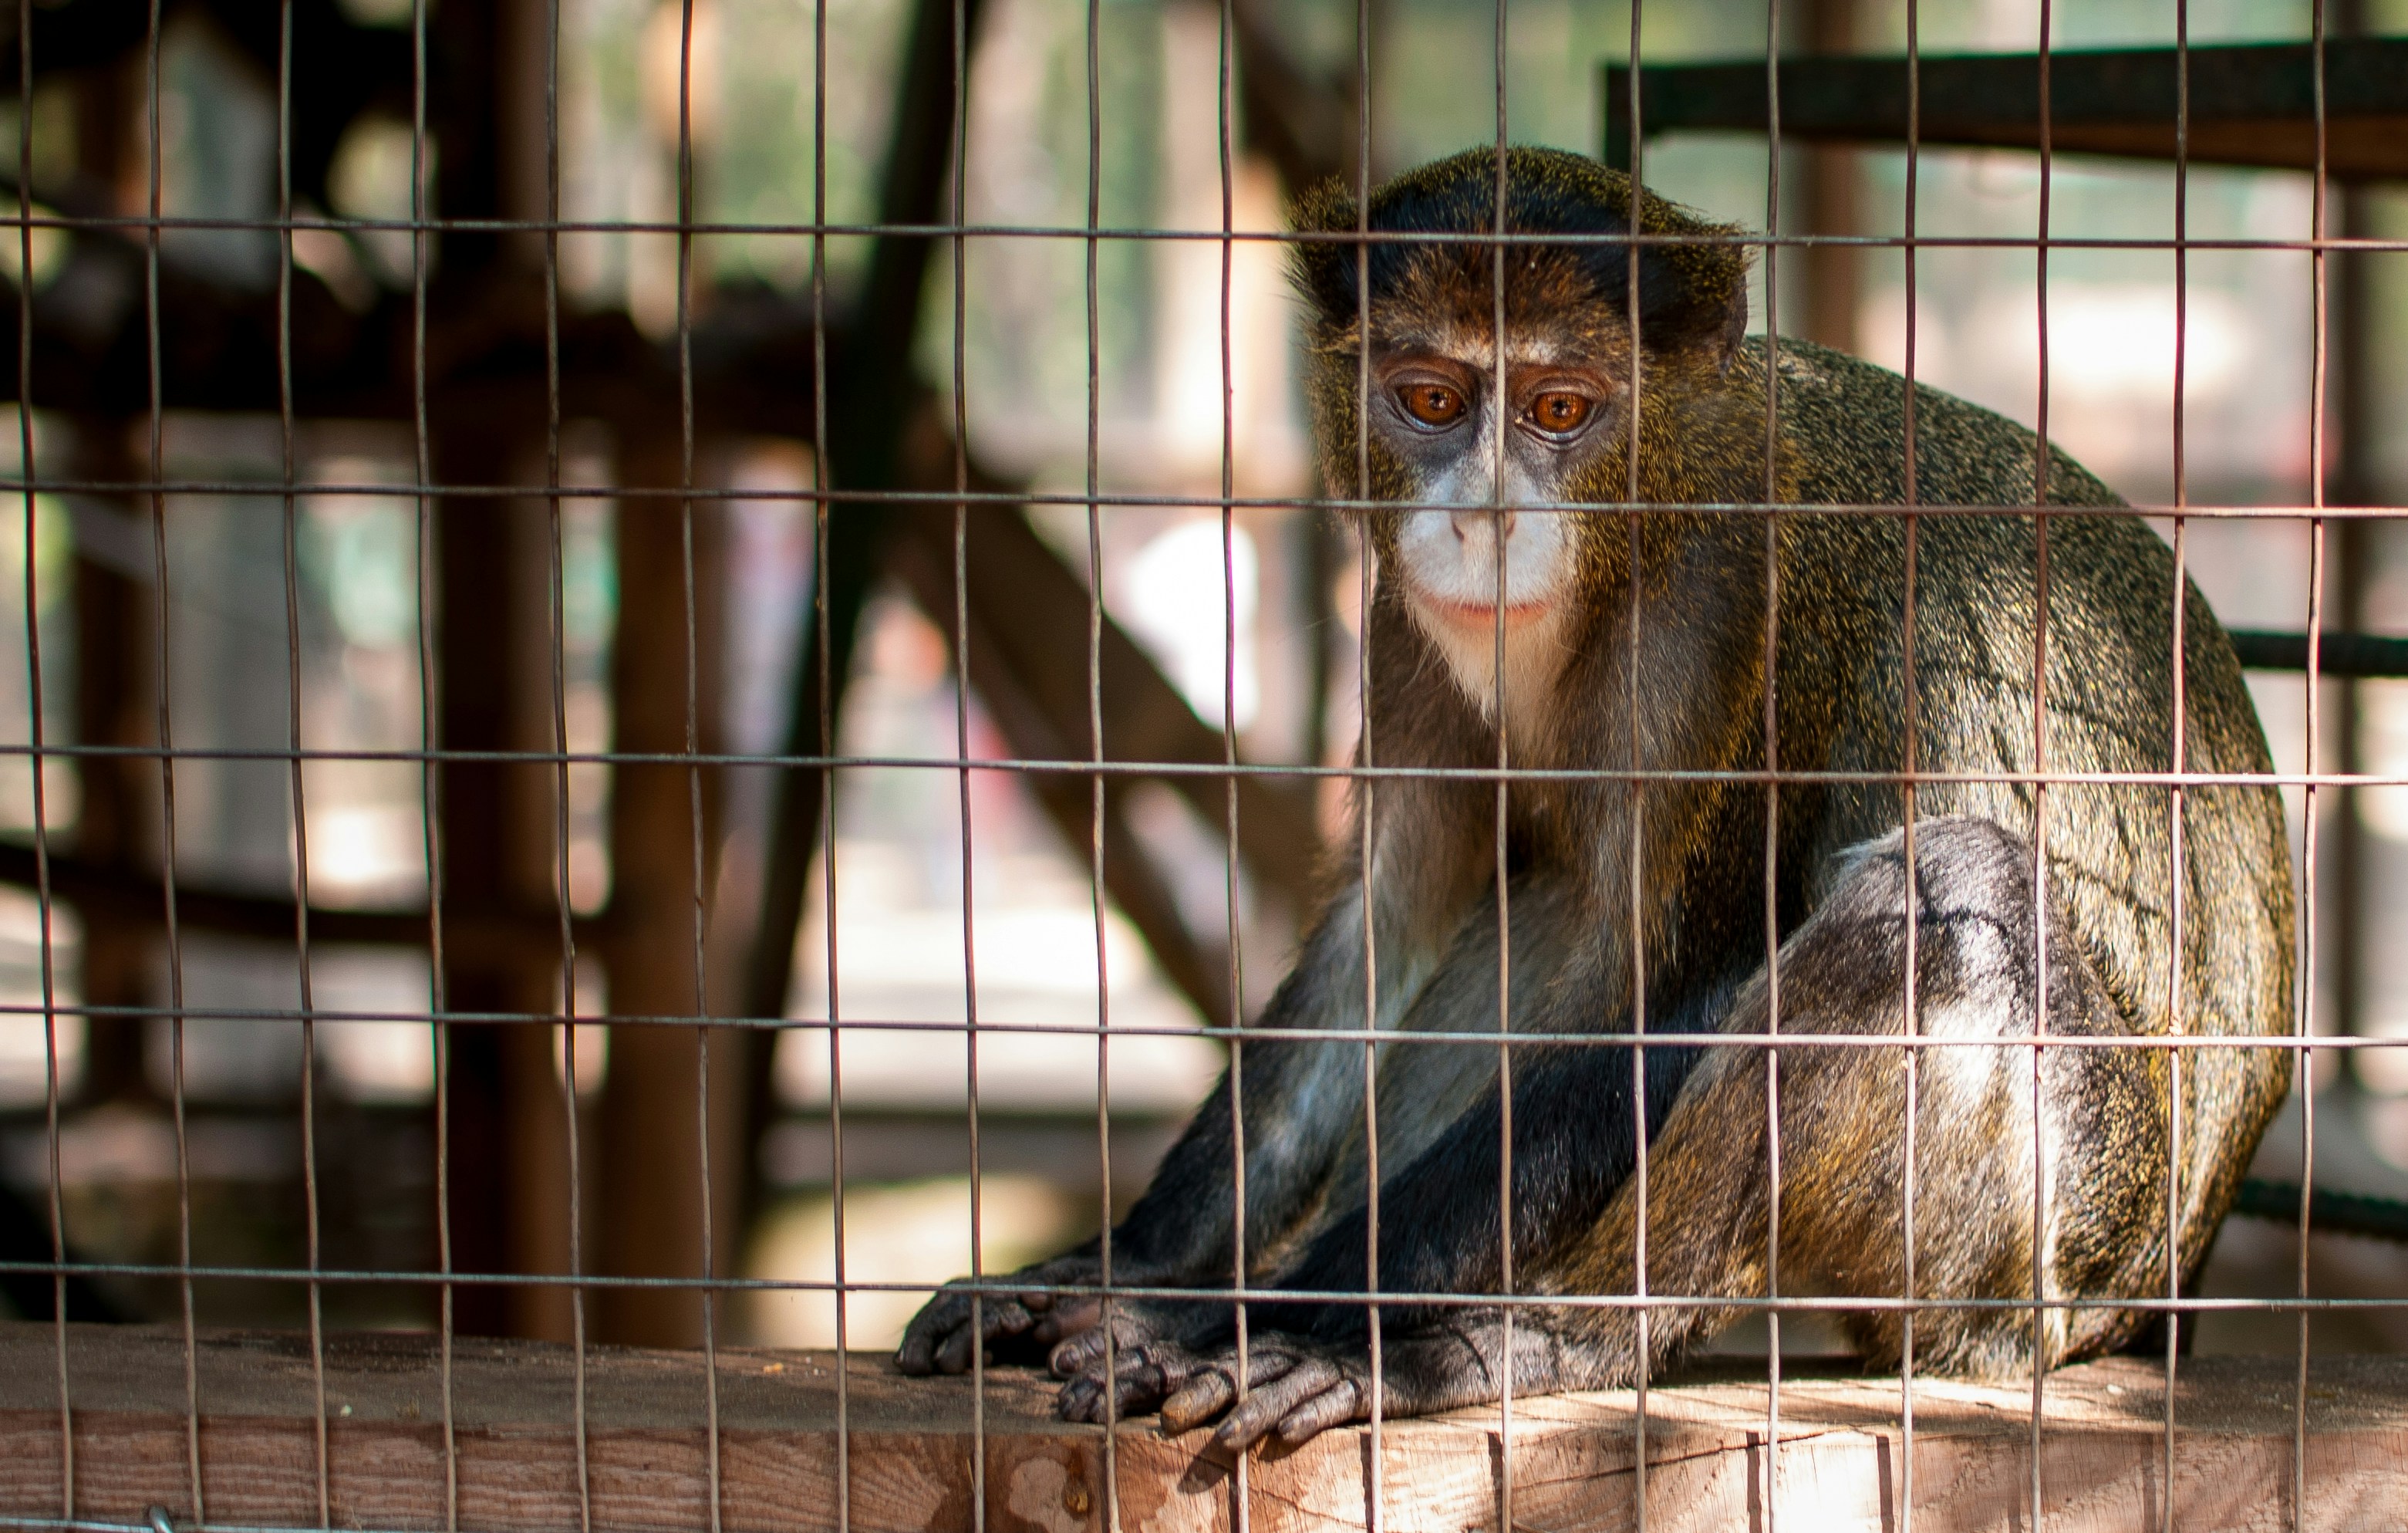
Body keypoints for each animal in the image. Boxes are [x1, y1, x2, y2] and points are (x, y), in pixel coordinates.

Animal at [896, 145, 2294, 1453]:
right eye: (1430, 400)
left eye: (1560, 407)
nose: (1486, 518)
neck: (1654, 494)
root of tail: (2158, 1293)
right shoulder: (1401, 621)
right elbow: (1382, 938)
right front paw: (1125, 1268)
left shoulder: (1735, 609)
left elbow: (1680, 988)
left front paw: (1232, 1321)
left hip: (2049, 1245)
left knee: (1946, 893)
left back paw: (1516, 1347)